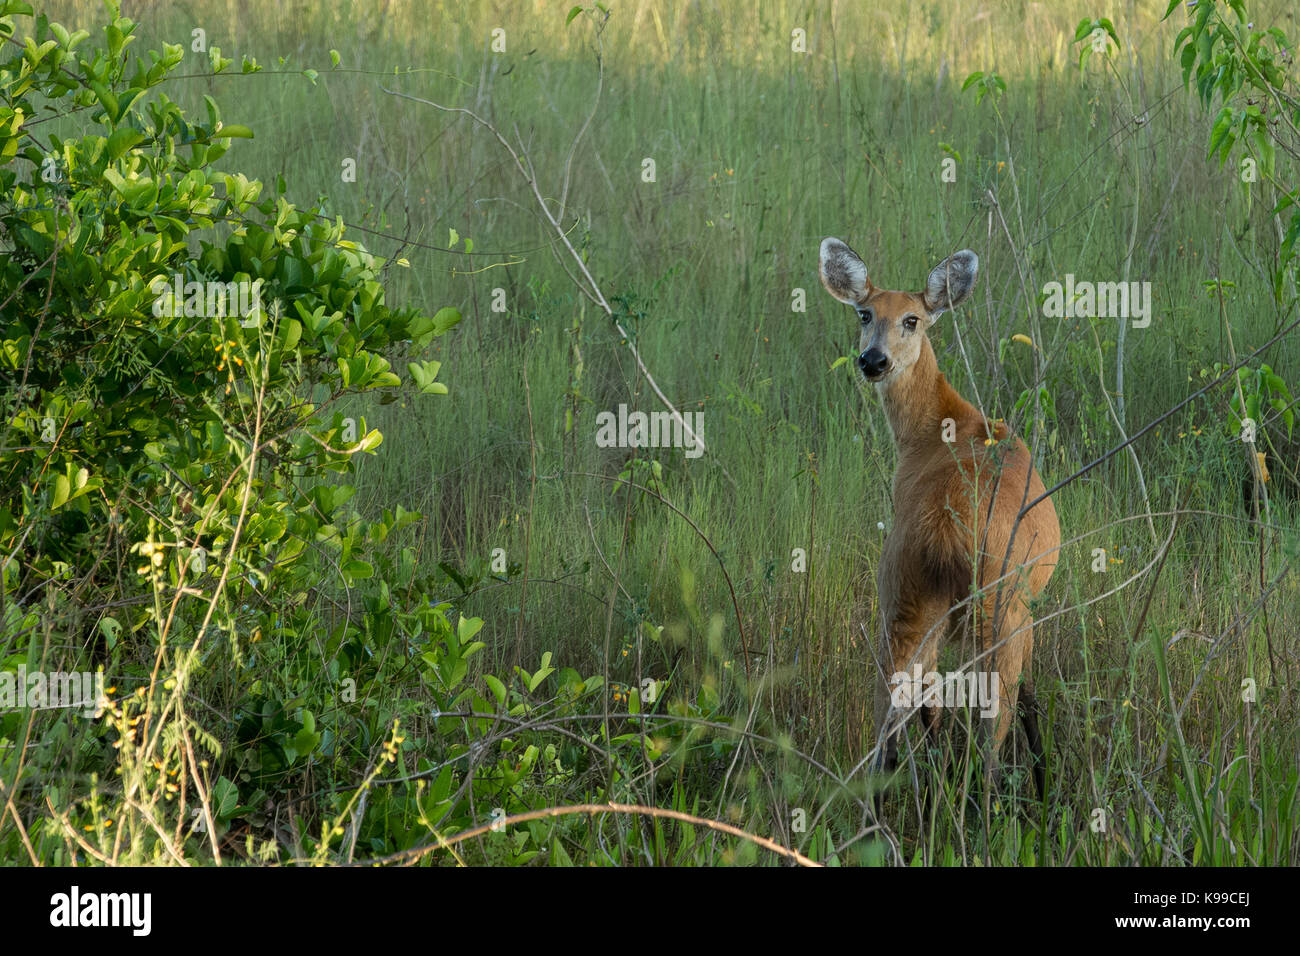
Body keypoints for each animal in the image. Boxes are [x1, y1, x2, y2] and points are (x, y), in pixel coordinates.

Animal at [818, 237, 1060, 805]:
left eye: (911, 319)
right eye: (865, 314)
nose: (873, 359)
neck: (934, 430)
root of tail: (949, 530)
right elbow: (1032, 698)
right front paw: (1045, 784)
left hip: (903, 595)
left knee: (893, 708)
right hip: (1001, 607)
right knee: (992, 728)